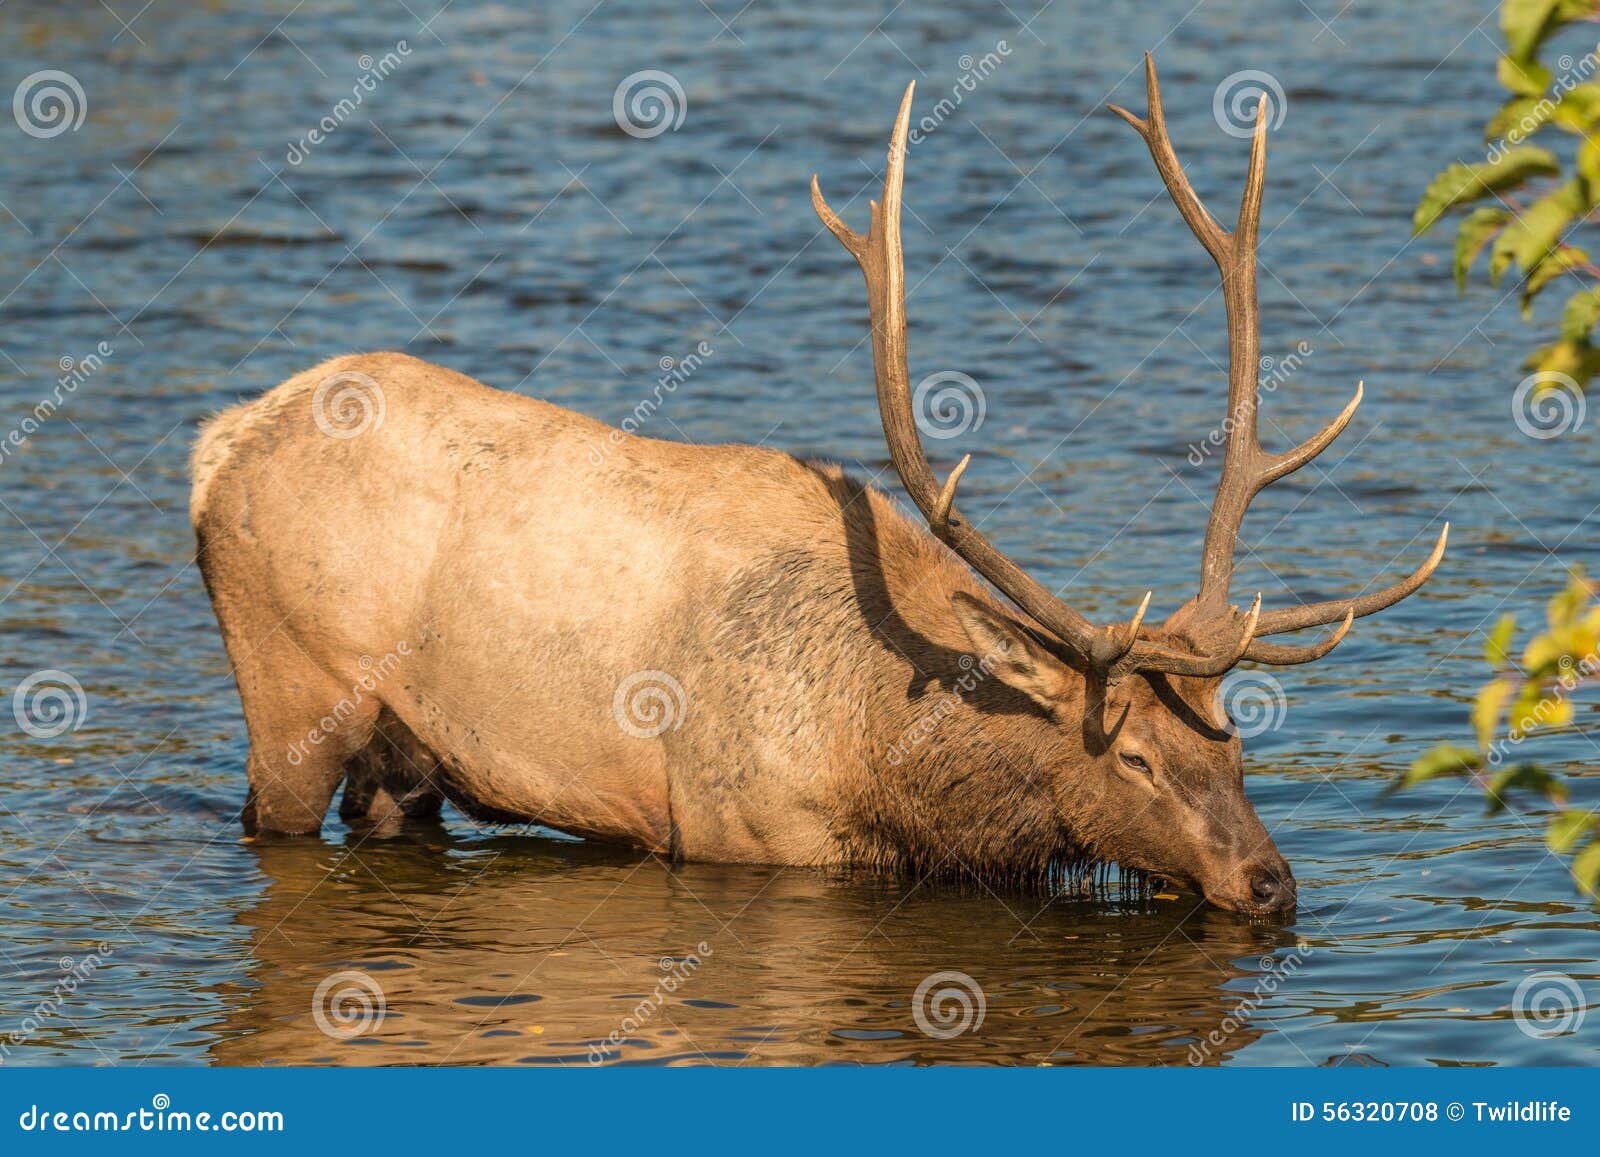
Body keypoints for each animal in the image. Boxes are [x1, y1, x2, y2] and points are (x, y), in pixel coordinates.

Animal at [190, 56, 1445, 914]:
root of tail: (216, 443)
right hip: (290, 689)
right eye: (1131, 753)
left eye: (1233, 742)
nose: (1271, 882)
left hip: (405, 753)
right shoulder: (746, 834)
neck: (882, 749)